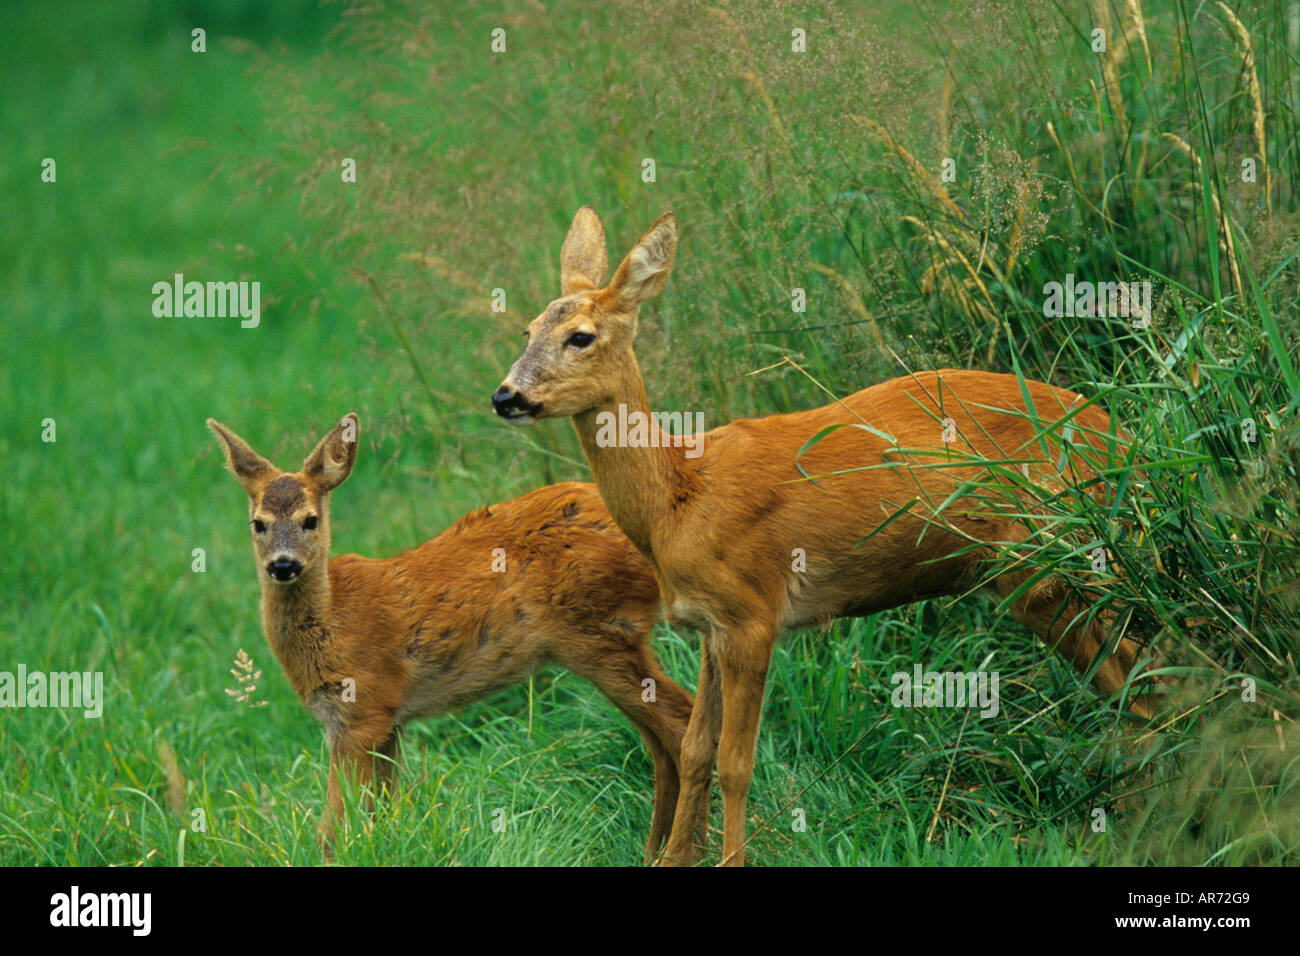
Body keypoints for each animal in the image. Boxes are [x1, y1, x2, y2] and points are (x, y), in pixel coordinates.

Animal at [207, 411, 698, 863]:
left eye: (310, 520)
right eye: (258, 524)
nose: (283, 565)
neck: (332, 618)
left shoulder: (362, 711)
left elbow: (334, 825)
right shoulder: (388, 721)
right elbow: (379, 811)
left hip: (596, 632)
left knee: (681, 725)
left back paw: (679, 850)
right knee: (661, 742)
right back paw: (654, 850)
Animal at [490, 206, 1160, 866]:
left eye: (580, 336)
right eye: (527, 330)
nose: (506, 396)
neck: (676, 502)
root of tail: (1125, 439)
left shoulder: (752, 614)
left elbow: (736, 762)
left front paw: (732, 861)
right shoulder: (710, 626)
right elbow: (697, 749)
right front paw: (676, 857)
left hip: (1051, 565)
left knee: (1136, 680)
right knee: (1136, 678)